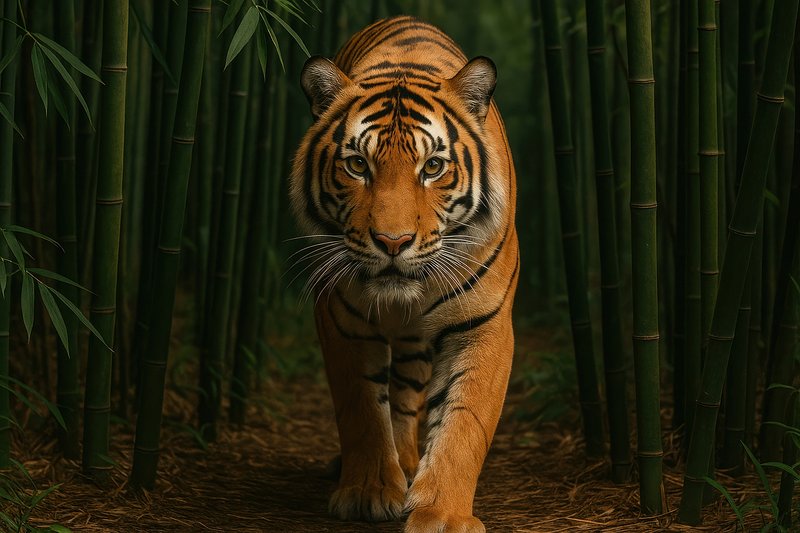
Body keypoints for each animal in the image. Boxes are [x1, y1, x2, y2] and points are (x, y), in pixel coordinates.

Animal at [290, 15, 519, 533]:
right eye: (358, 164)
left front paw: (443, 515)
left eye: (432, 167)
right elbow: (360, 409)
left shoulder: (484, 323)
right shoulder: (342, 319)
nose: (392, 242)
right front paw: (369, 492)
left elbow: (464, 423)